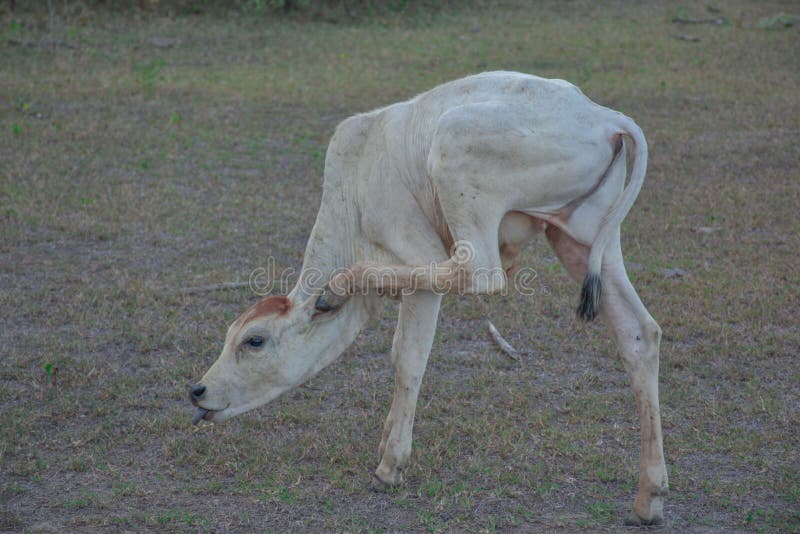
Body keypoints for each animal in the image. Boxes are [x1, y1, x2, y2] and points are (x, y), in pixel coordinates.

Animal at [189, 71, 668, 525]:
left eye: (254, 340)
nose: (198, 391)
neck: (354, 185)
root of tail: (603, 116)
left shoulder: (418, 260)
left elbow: (408, 359)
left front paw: (390, 465)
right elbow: (399, 351)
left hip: (457, 151)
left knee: (481, 274)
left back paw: (344, 282)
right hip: (582, 241)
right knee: (639, 333)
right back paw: (650, 496)